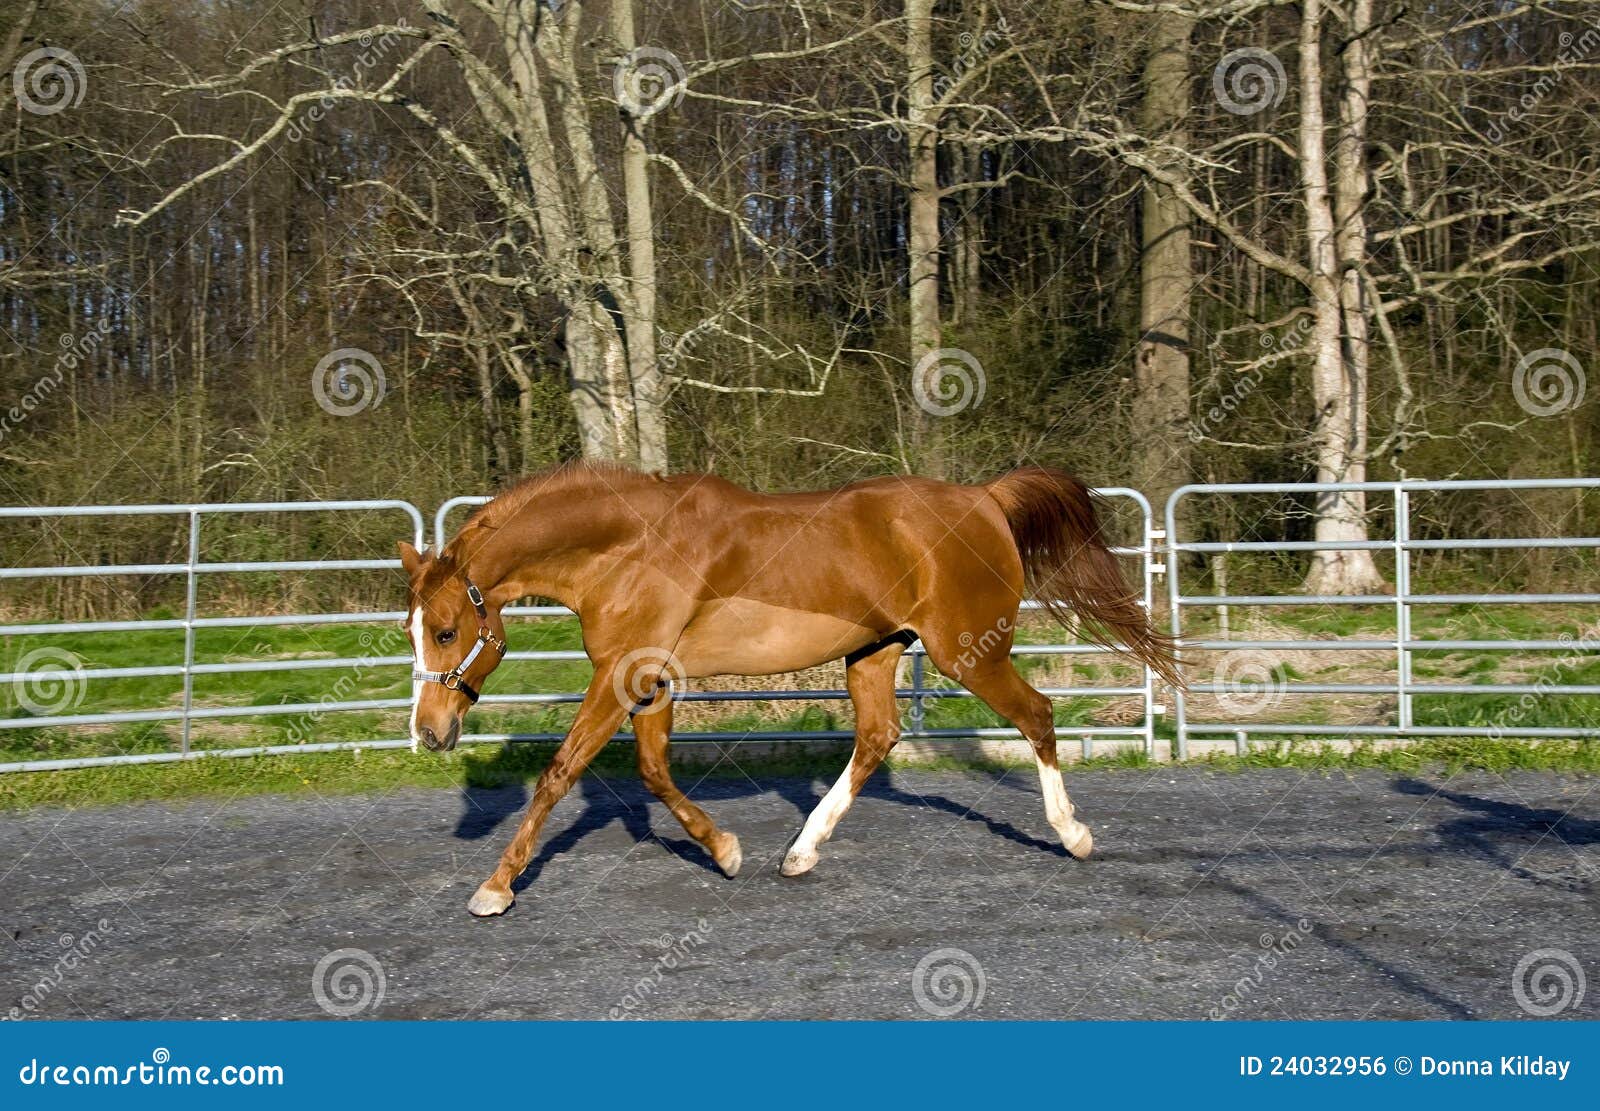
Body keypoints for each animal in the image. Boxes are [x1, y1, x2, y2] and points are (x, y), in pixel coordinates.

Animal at [399, 461, 1180, 917]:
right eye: (410, 628)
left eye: (444, 629)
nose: (431, 732)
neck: (626, 546)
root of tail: (984, 500)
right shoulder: (650, 680)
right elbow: (652, 771)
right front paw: (725, 850)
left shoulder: (621, 675)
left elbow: (561, 771)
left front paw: (495, 887)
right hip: (873, 653)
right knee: (877, 738)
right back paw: (800, 853)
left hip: (968, 653)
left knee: (1037, 715)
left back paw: (1074, 835)